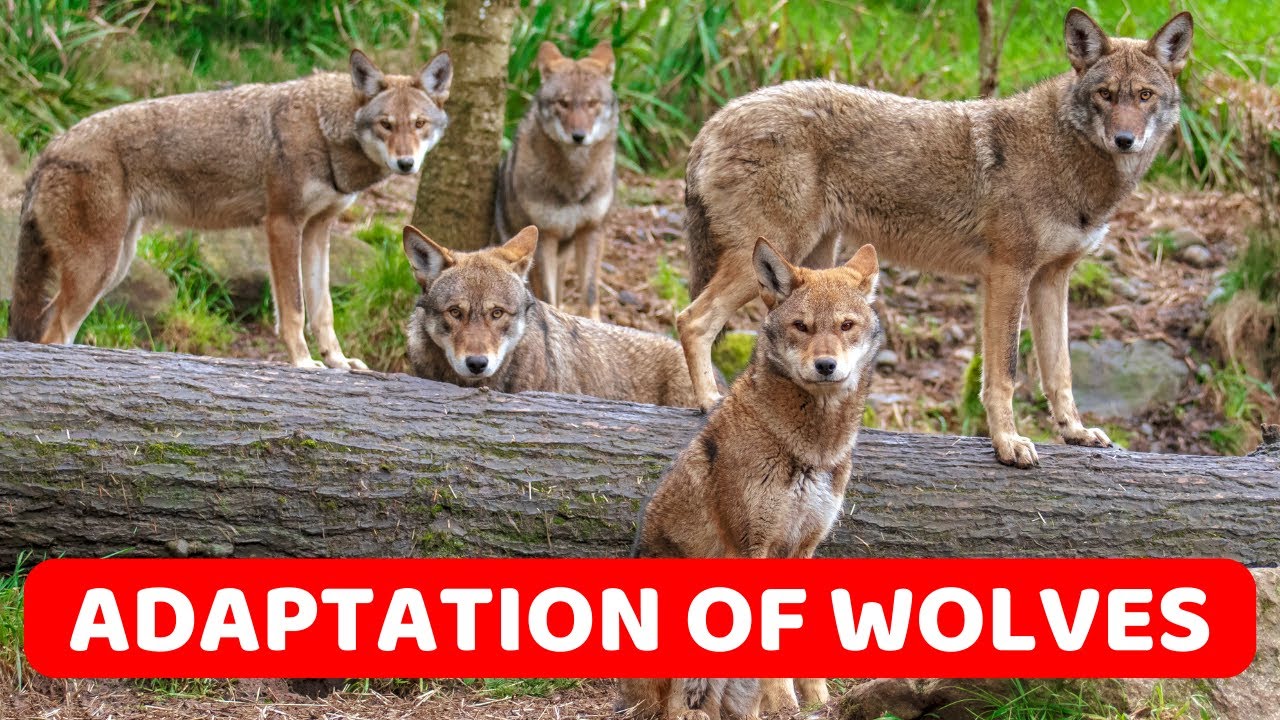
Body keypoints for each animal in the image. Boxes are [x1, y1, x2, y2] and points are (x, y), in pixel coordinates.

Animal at [10, 49, 453, 369]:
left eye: (419, 124)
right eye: (386, 124)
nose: (406, 164)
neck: (323, 128)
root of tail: (49, 149)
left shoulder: (318, 230)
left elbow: (323, 308)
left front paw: (338, 362)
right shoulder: (282, 224)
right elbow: (293, 309)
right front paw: (304, 363)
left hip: (115, 265)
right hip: (98, 267)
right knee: (53, 333)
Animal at [494, 41, 618, 321]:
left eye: (592, 103)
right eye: (563, 103)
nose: (579, 136)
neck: (574, 181)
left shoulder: (592, 230)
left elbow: (590, 292)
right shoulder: (545, 238)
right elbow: (548, 298)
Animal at [618, 240, 884, 719]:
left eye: (846, 326)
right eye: (801, 326)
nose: (826, 365)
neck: (811, 450)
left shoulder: (803, 548)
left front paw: (819, 700)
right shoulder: (753, 547)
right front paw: (785, 704)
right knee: (675, 704)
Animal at [677, 9, 1193, 467]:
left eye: (1144, 95)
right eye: (1105, 94)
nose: (1125, 139)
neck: (1067, 159)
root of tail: (711, 122)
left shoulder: (1052, 278)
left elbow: (1059, 370)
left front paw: (1075, 432)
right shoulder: (1008, 274)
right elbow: (1004, 373)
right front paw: (1007, 444)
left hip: (815, 263)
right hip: (771, 254)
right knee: (691, 319)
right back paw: (709, 401)